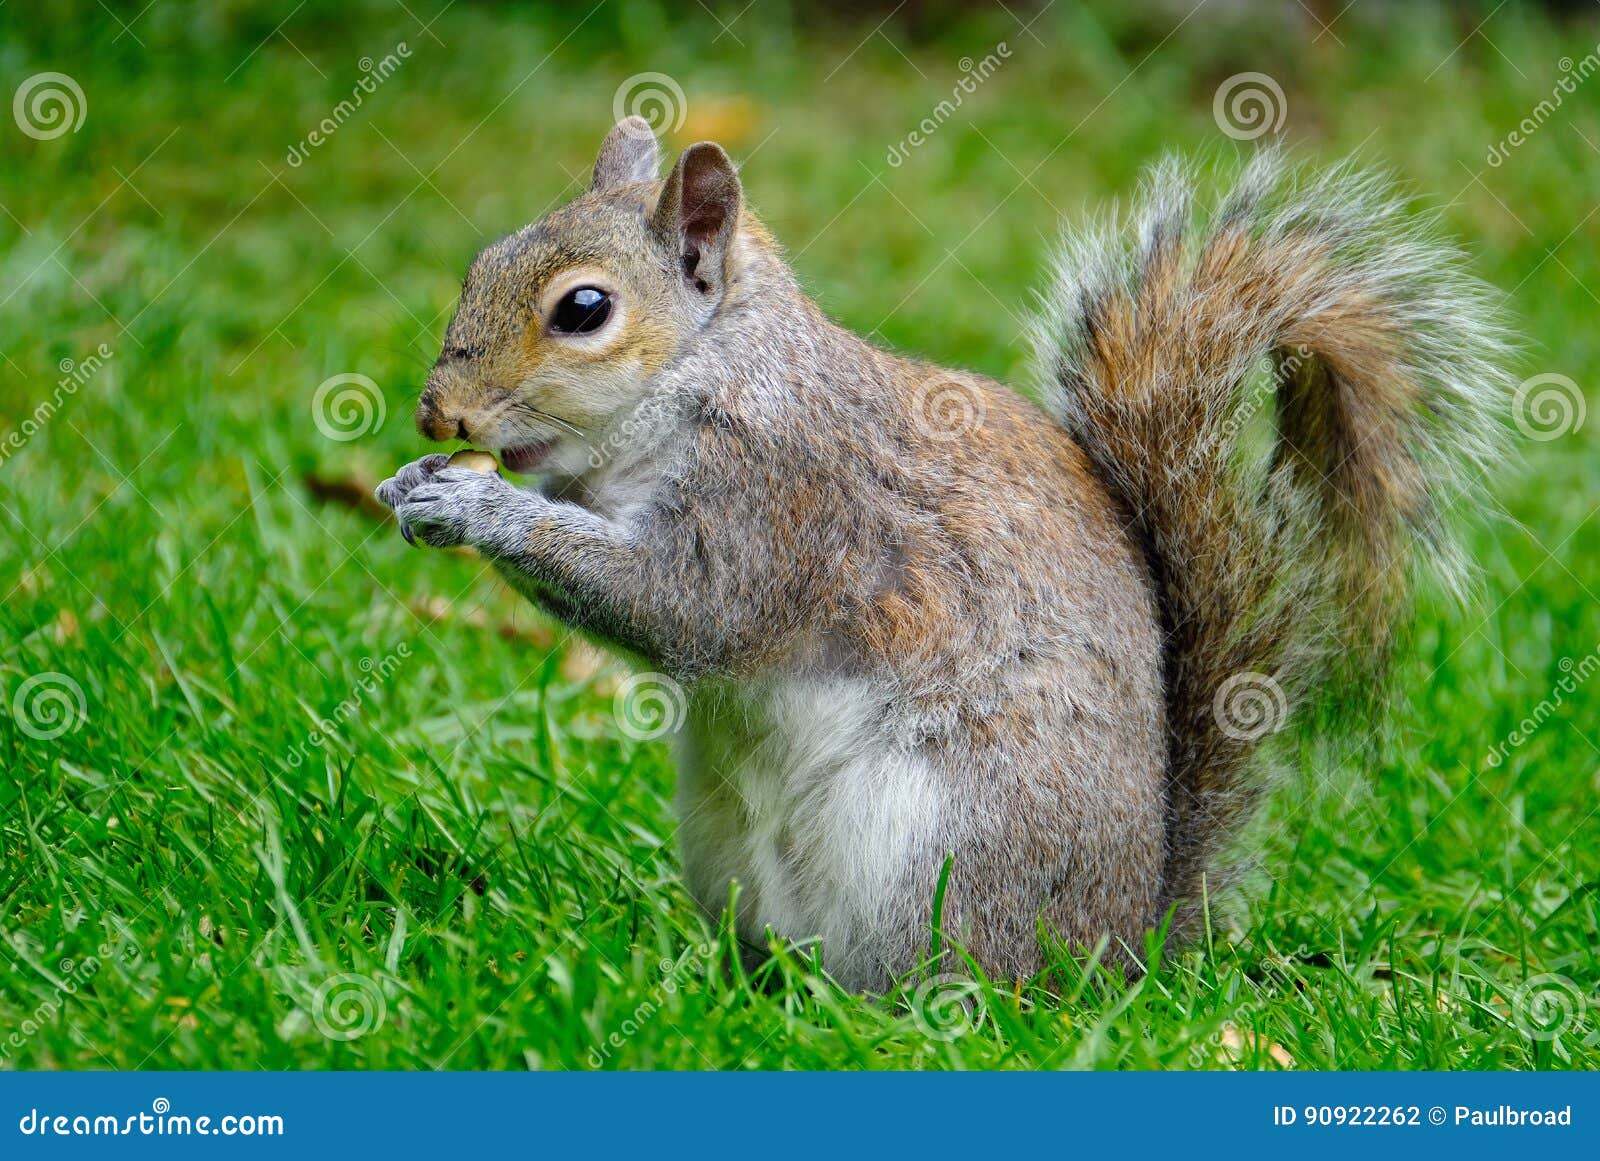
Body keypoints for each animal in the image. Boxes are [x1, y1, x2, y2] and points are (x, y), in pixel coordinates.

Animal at [375, 116, 1512, 992]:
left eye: (584, 309)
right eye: (481, 264)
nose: (438, 411)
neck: (714, 373)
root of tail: (1126, 943)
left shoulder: (782, 502)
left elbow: (684, 610)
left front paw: (481, 505)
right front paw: (411, 485)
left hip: (936, 846)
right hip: (727, 843)